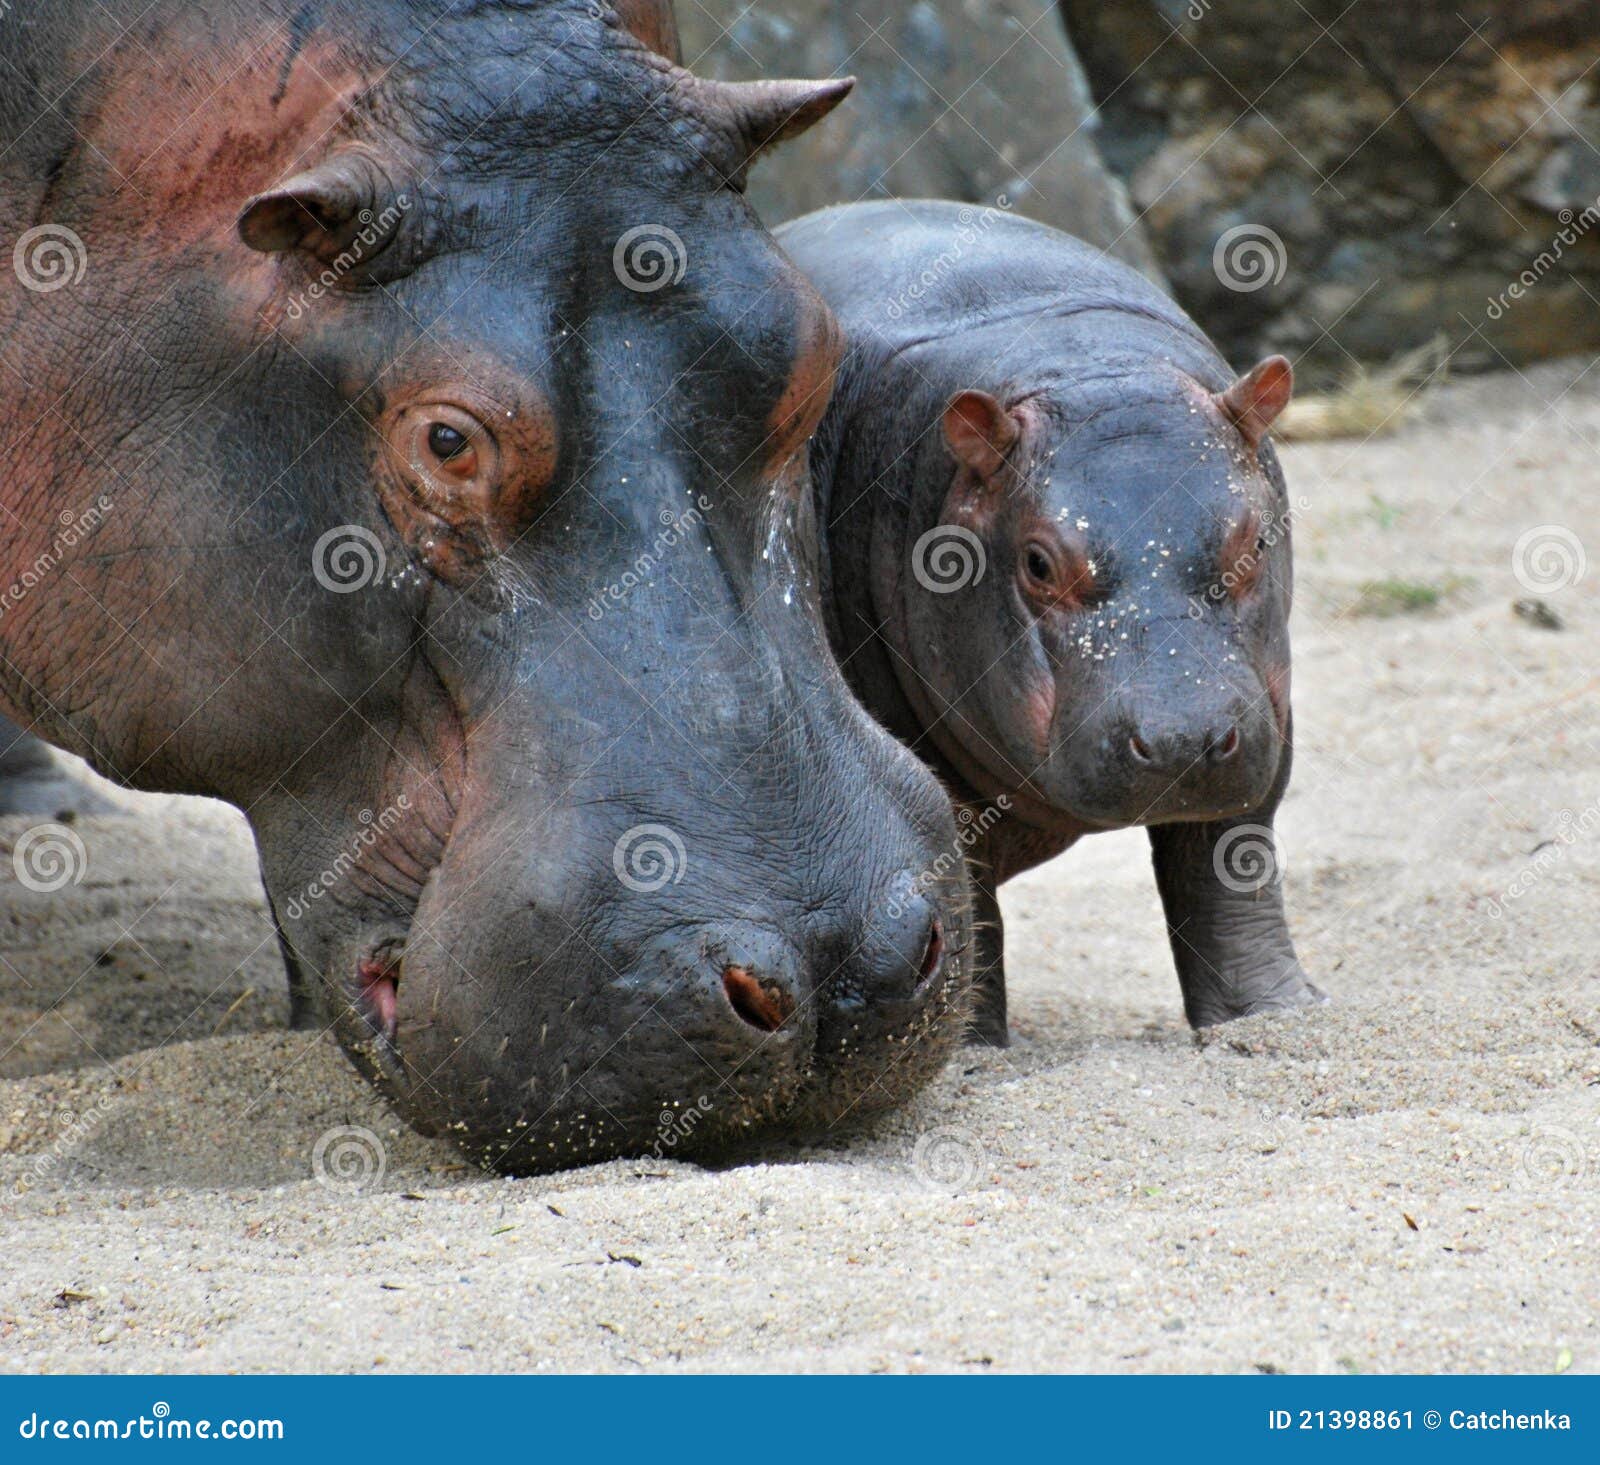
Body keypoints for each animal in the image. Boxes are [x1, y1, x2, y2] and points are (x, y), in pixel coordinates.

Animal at [777, 200, 1321, 1044]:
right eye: (1036, 562)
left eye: (1255, 540)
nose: (1181, 739)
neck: (1082, 360)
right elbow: (963, 897)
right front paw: (974, 1046)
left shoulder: (1269, 720)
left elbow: (1229, 868)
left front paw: (1275, 1017)